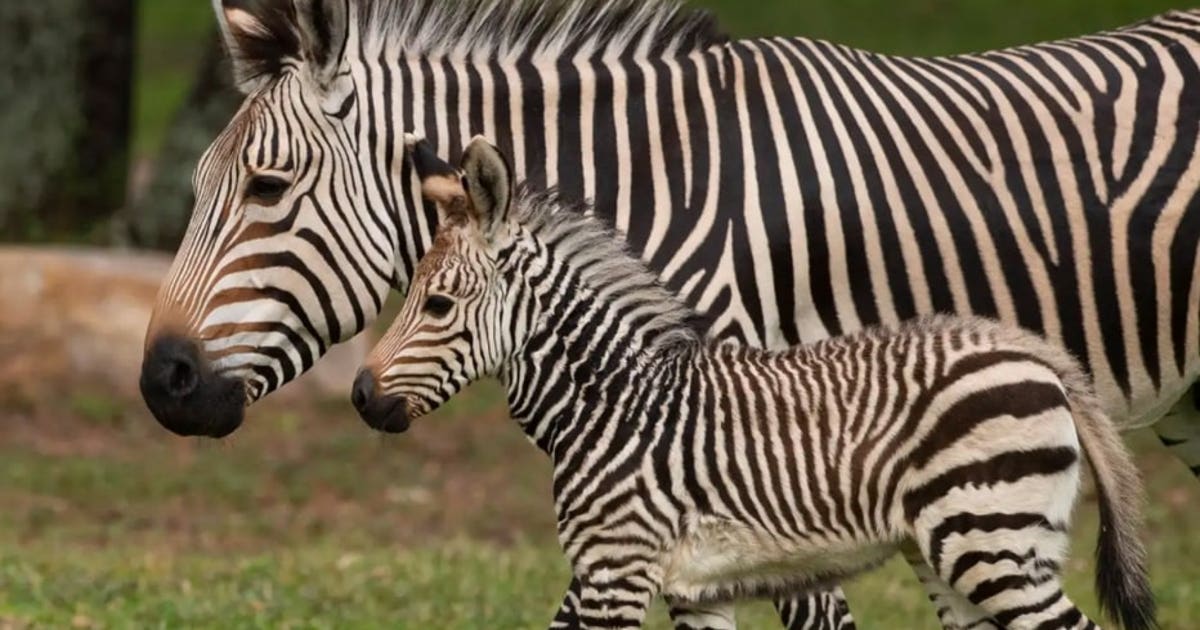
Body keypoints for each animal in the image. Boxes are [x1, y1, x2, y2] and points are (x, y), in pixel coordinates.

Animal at [352, 136, 1155, 630]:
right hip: (962, 554)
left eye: (438, 305)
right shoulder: (689, 588)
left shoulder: (614, 569)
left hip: (991, 544)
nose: (360, 397)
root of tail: (1035, 354)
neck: (611, 403)